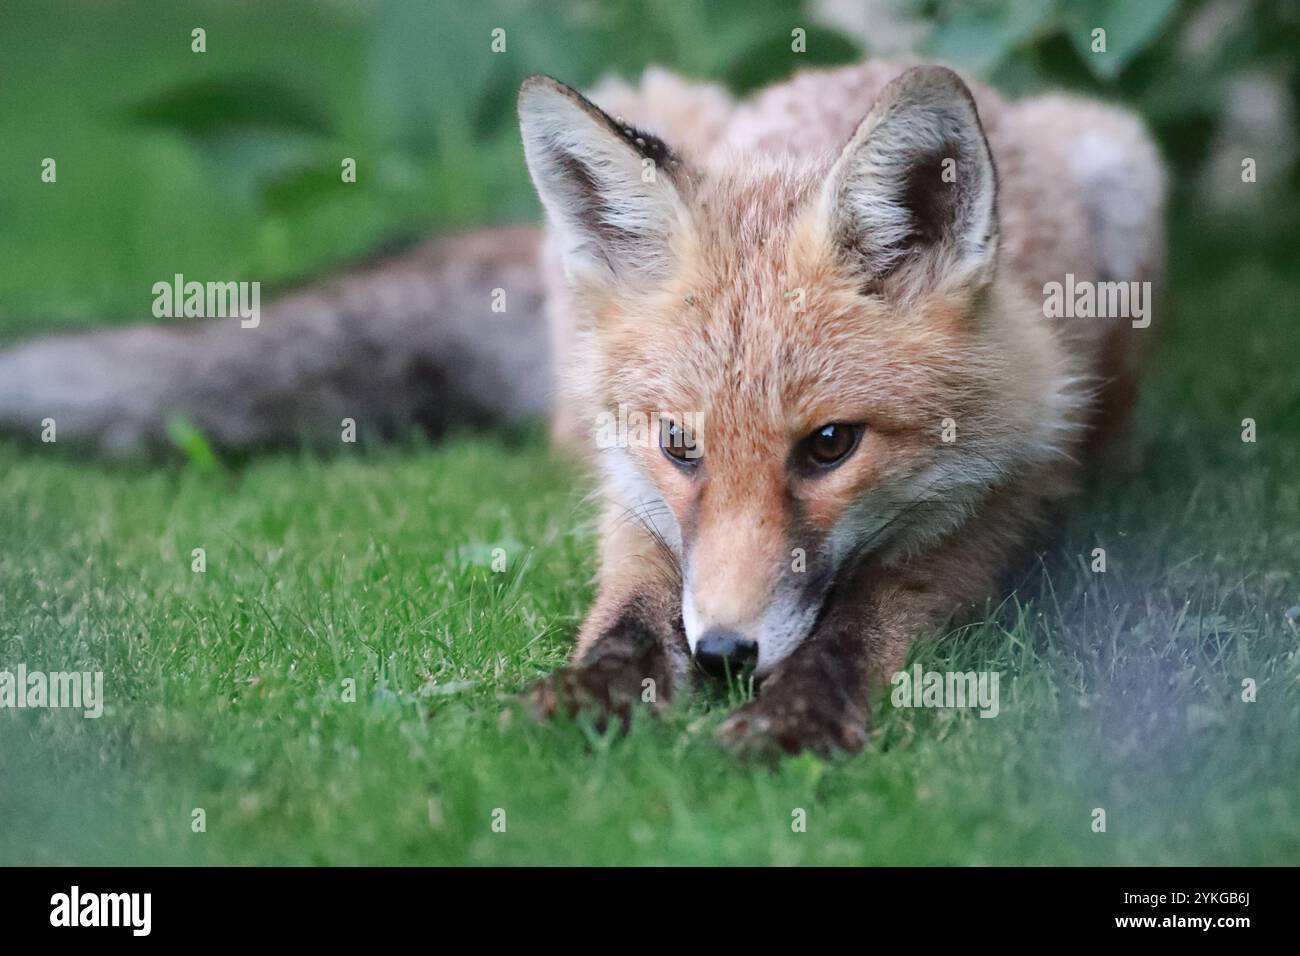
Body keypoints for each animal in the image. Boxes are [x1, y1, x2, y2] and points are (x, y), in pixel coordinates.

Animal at [0, 59, 1164, 756]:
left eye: (830, 446)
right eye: (680, 444)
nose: (724, 655)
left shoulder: (1004, 503)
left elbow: (859, 621)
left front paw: (796, 712)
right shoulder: (632, 497)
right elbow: (629, 611)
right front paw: (598, 692)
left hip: (1124, 168)